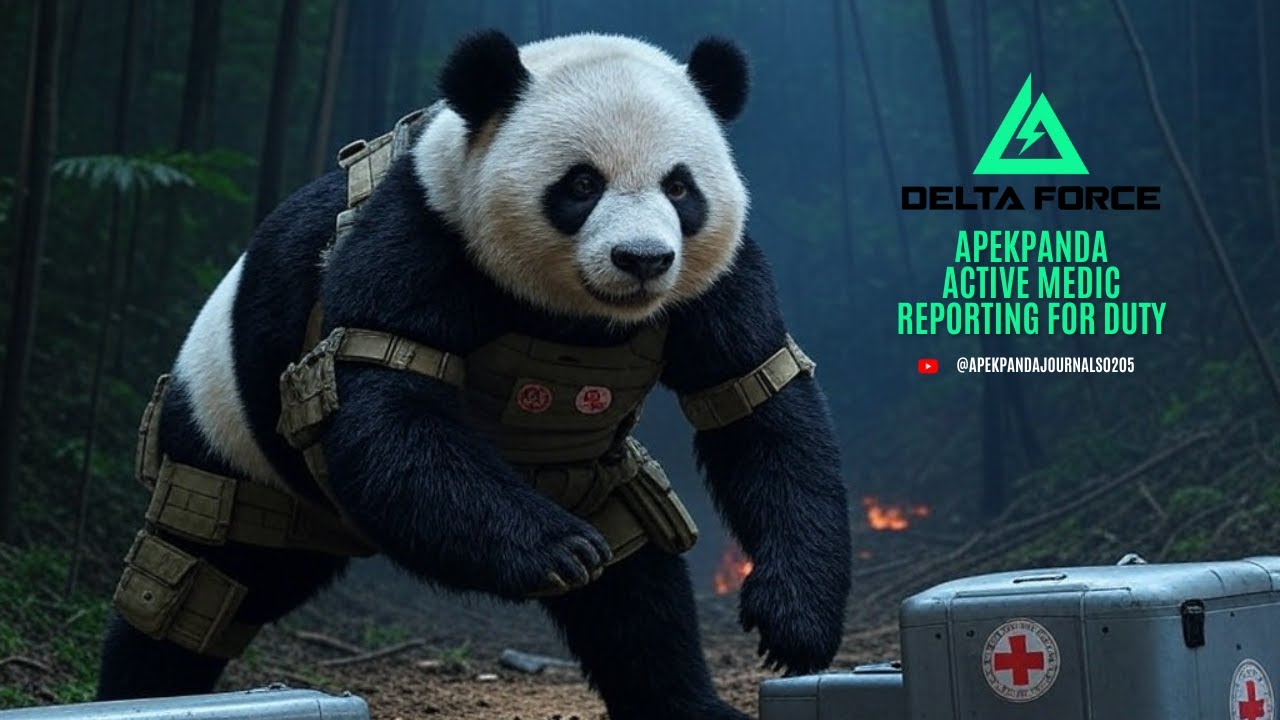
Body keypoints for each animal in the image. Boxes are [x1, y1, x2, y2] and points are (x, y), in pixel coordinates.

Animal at [96, 31, 852, 720]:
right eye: (582, 184)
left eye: (680, 186)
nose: (642, 260)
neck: (580, 319)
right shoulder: (425, 235)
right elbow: (389, 401)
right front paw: (558, 551)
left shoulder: (718, 277)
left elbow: (757, 399)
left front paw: (793, 620)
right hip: (226, 446)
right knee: (195, 587)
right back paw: (142, 686)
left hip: (593, 483)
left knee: (637, 596)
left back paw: (687, 701)